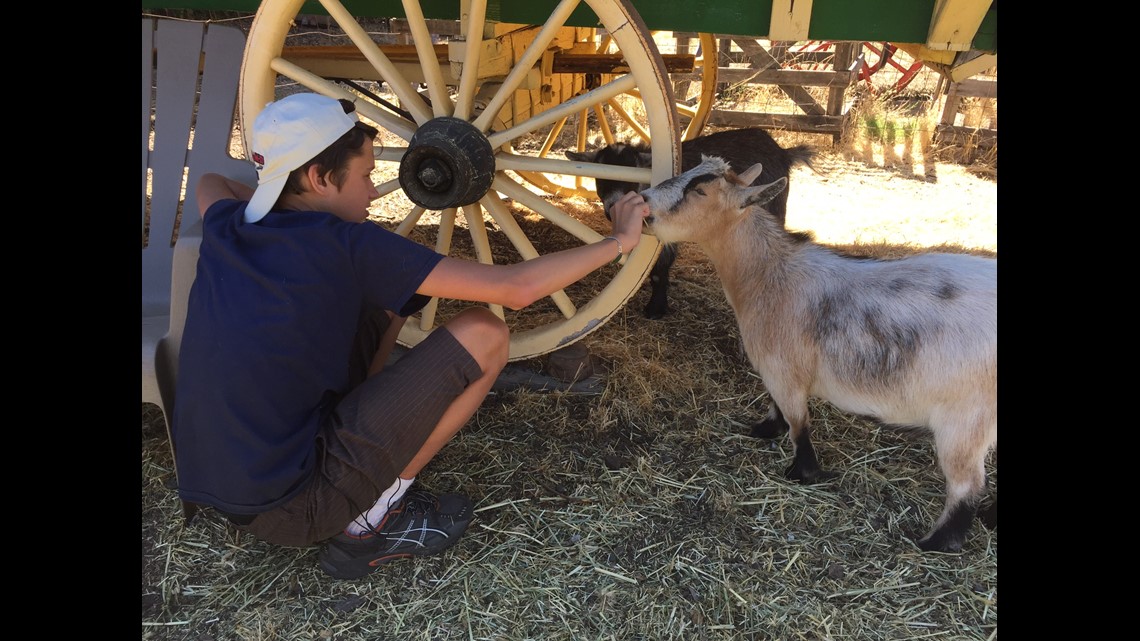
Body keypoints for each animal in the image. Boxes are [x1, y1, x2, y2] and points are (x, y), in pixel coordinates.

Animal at [566, 128, 814, 319]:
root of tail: (783, 151)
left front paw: (656, 307)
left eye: (629, 177)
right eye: (600, 178)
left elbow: (661, 267)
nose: (612, 209)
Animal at [640, 156, 997, 553]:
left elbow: (799, 425)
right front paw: (767, 428)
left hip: (965, 418)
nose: (644, 205)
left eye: (700, 192)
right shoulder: (779, 373)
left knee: (966, 484)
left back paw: (936, 541)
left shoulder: (783, 370)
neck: (768, 276)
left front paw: (801, 471)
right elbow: (778, 408)